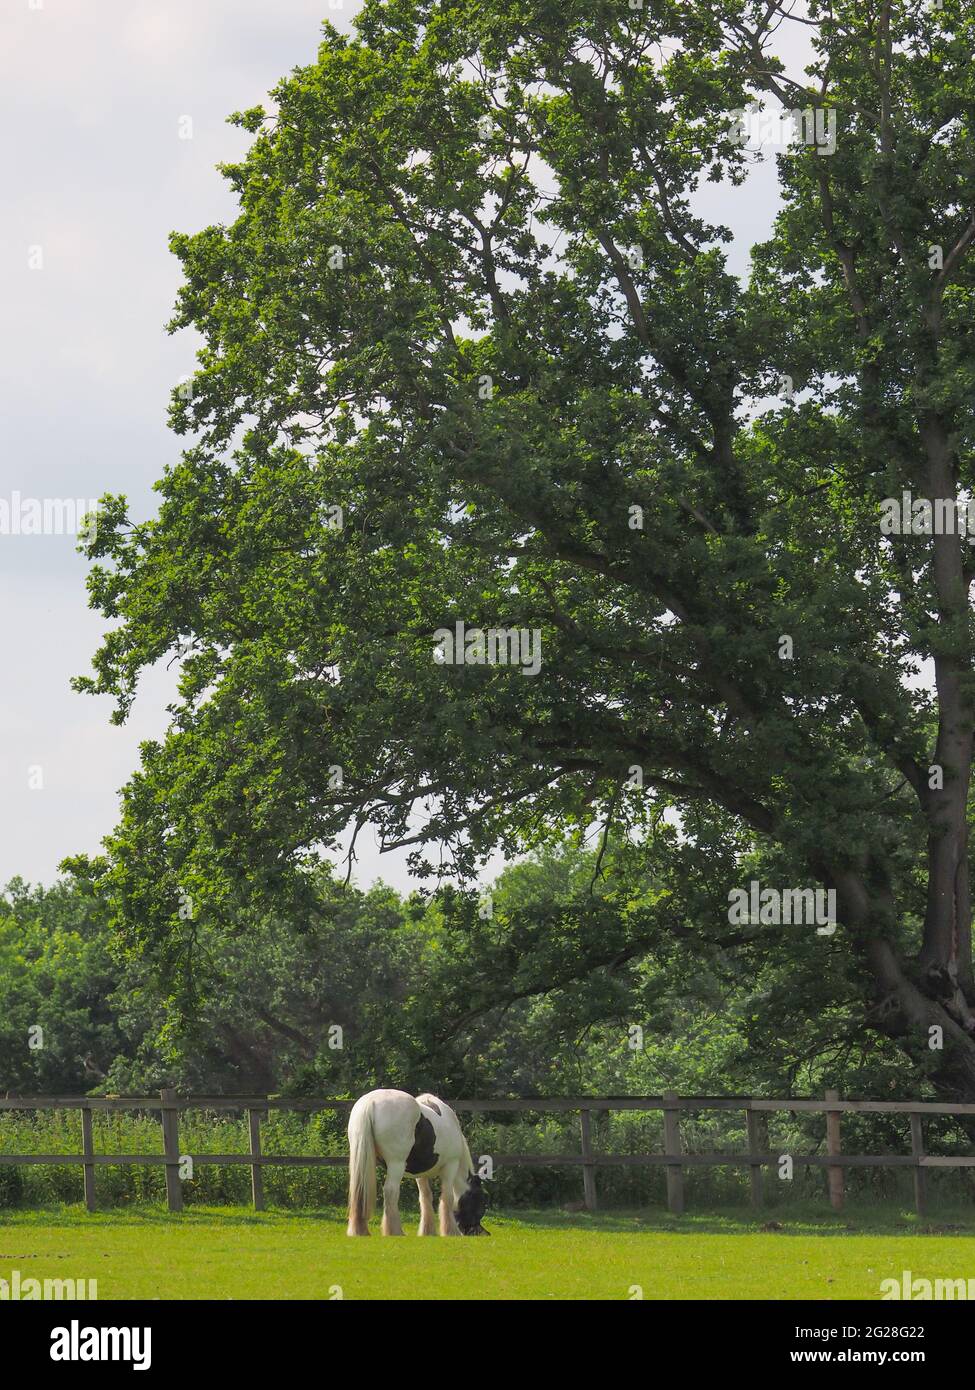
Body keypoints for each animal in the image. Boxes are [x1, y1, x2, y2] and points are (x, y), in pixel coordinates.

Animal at [346, 1088, 490, 1237]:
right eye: (481, 1200)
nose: (481, 1233)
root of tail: (371, 1102)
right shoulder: (451, 1166)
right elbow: (448, 1197)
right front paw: (450, 1231)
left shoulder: (421, 1174)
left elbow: (425, 1197)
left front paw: (427, 1231)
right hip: (396, 1164)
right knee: (391, 1192)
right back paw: (395, 1231)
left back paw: (360, 1231)